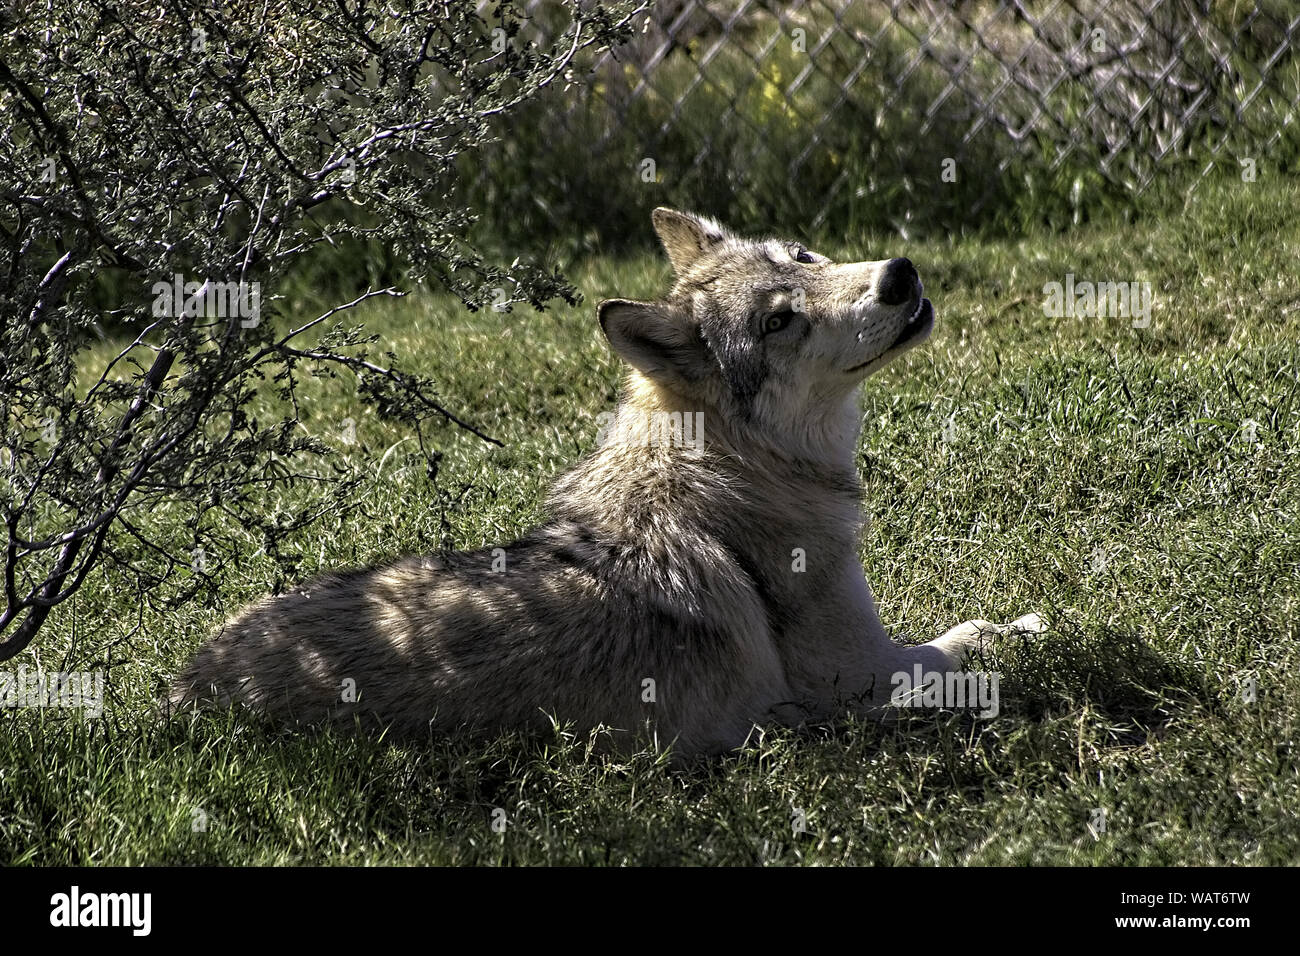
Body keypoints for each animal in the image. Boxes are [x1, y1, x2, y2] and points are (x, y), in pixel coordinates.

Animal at [168, 208, 1044, 756]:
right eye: (777, 321)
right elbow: (963, 644)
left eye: (804, 257)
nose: (899, 273)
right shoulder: (858, 679)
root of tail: (179, 701)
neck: (737, 473)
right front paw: (1030, 629)